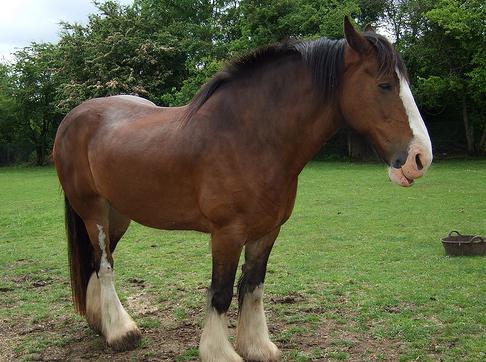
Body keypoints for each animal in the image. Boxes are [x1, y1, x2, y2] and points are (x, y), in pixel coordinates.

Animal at [53, 17, 432, 362]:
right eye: (384, 85)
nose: (420, 158)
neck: (250, 136)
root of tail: (73, 117)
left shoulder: (267, 231)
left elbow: (252, 285)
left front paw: (257, 346)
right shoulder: (227, 234)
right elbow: (220, 293)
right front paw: (219, 352)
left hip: (118, 214)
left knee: (96, 260)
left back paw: (101, 324)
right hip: (93, 210)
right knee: (104, 264)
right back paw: (121, 332)